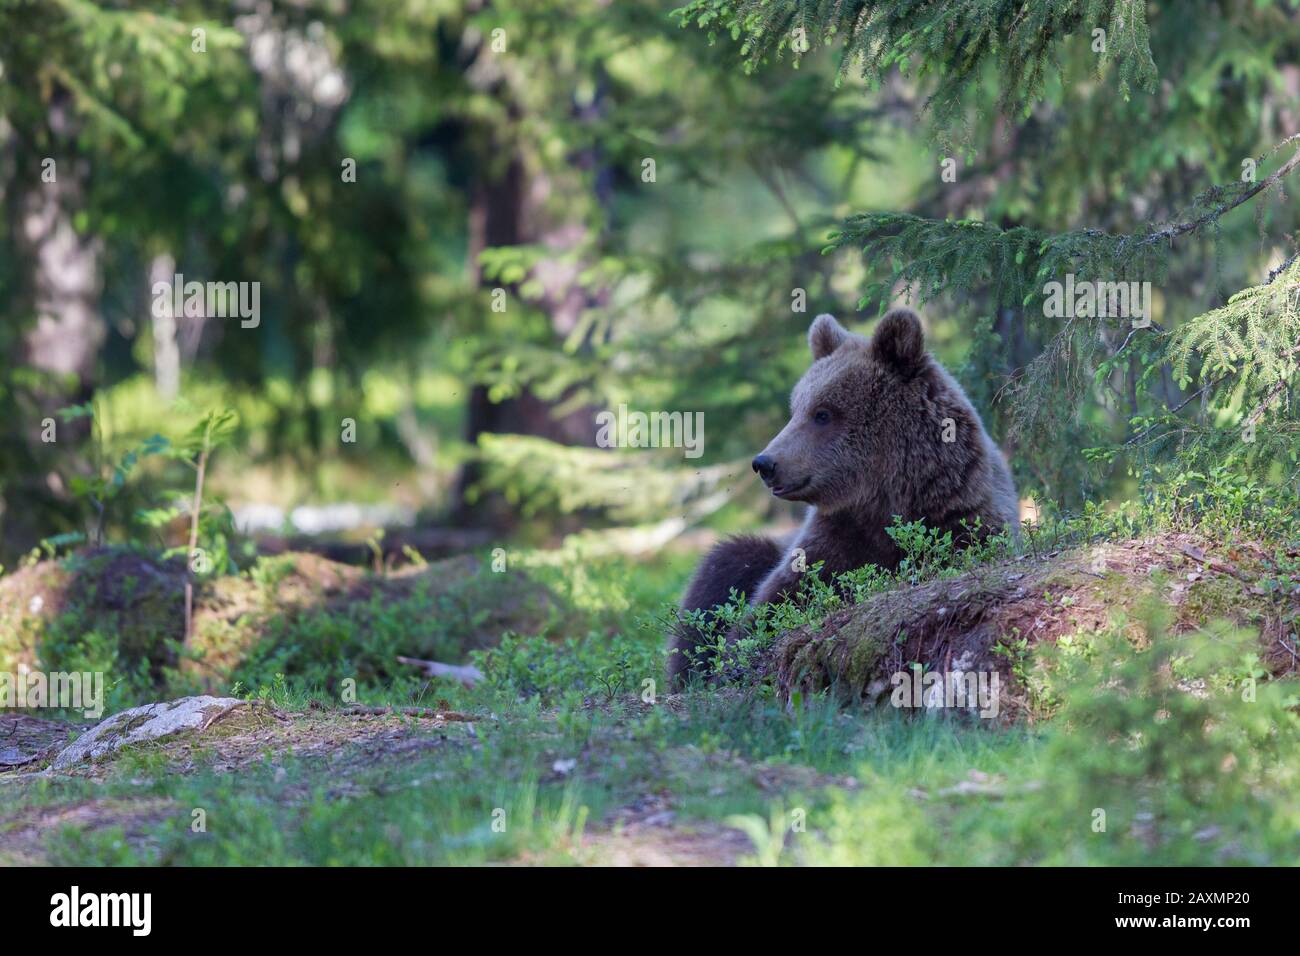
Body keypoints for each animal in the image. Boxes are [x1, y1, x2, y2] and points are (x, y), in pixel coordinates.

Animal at [667, 308, 1019, 689]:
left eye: (822, 413)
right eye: (796, 408)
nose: (765, 463)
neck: (885, 500)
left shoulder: (961, 522)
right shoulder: (832, 537)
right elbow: (773, 602)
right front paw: (726, 662)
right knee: (722, 567)